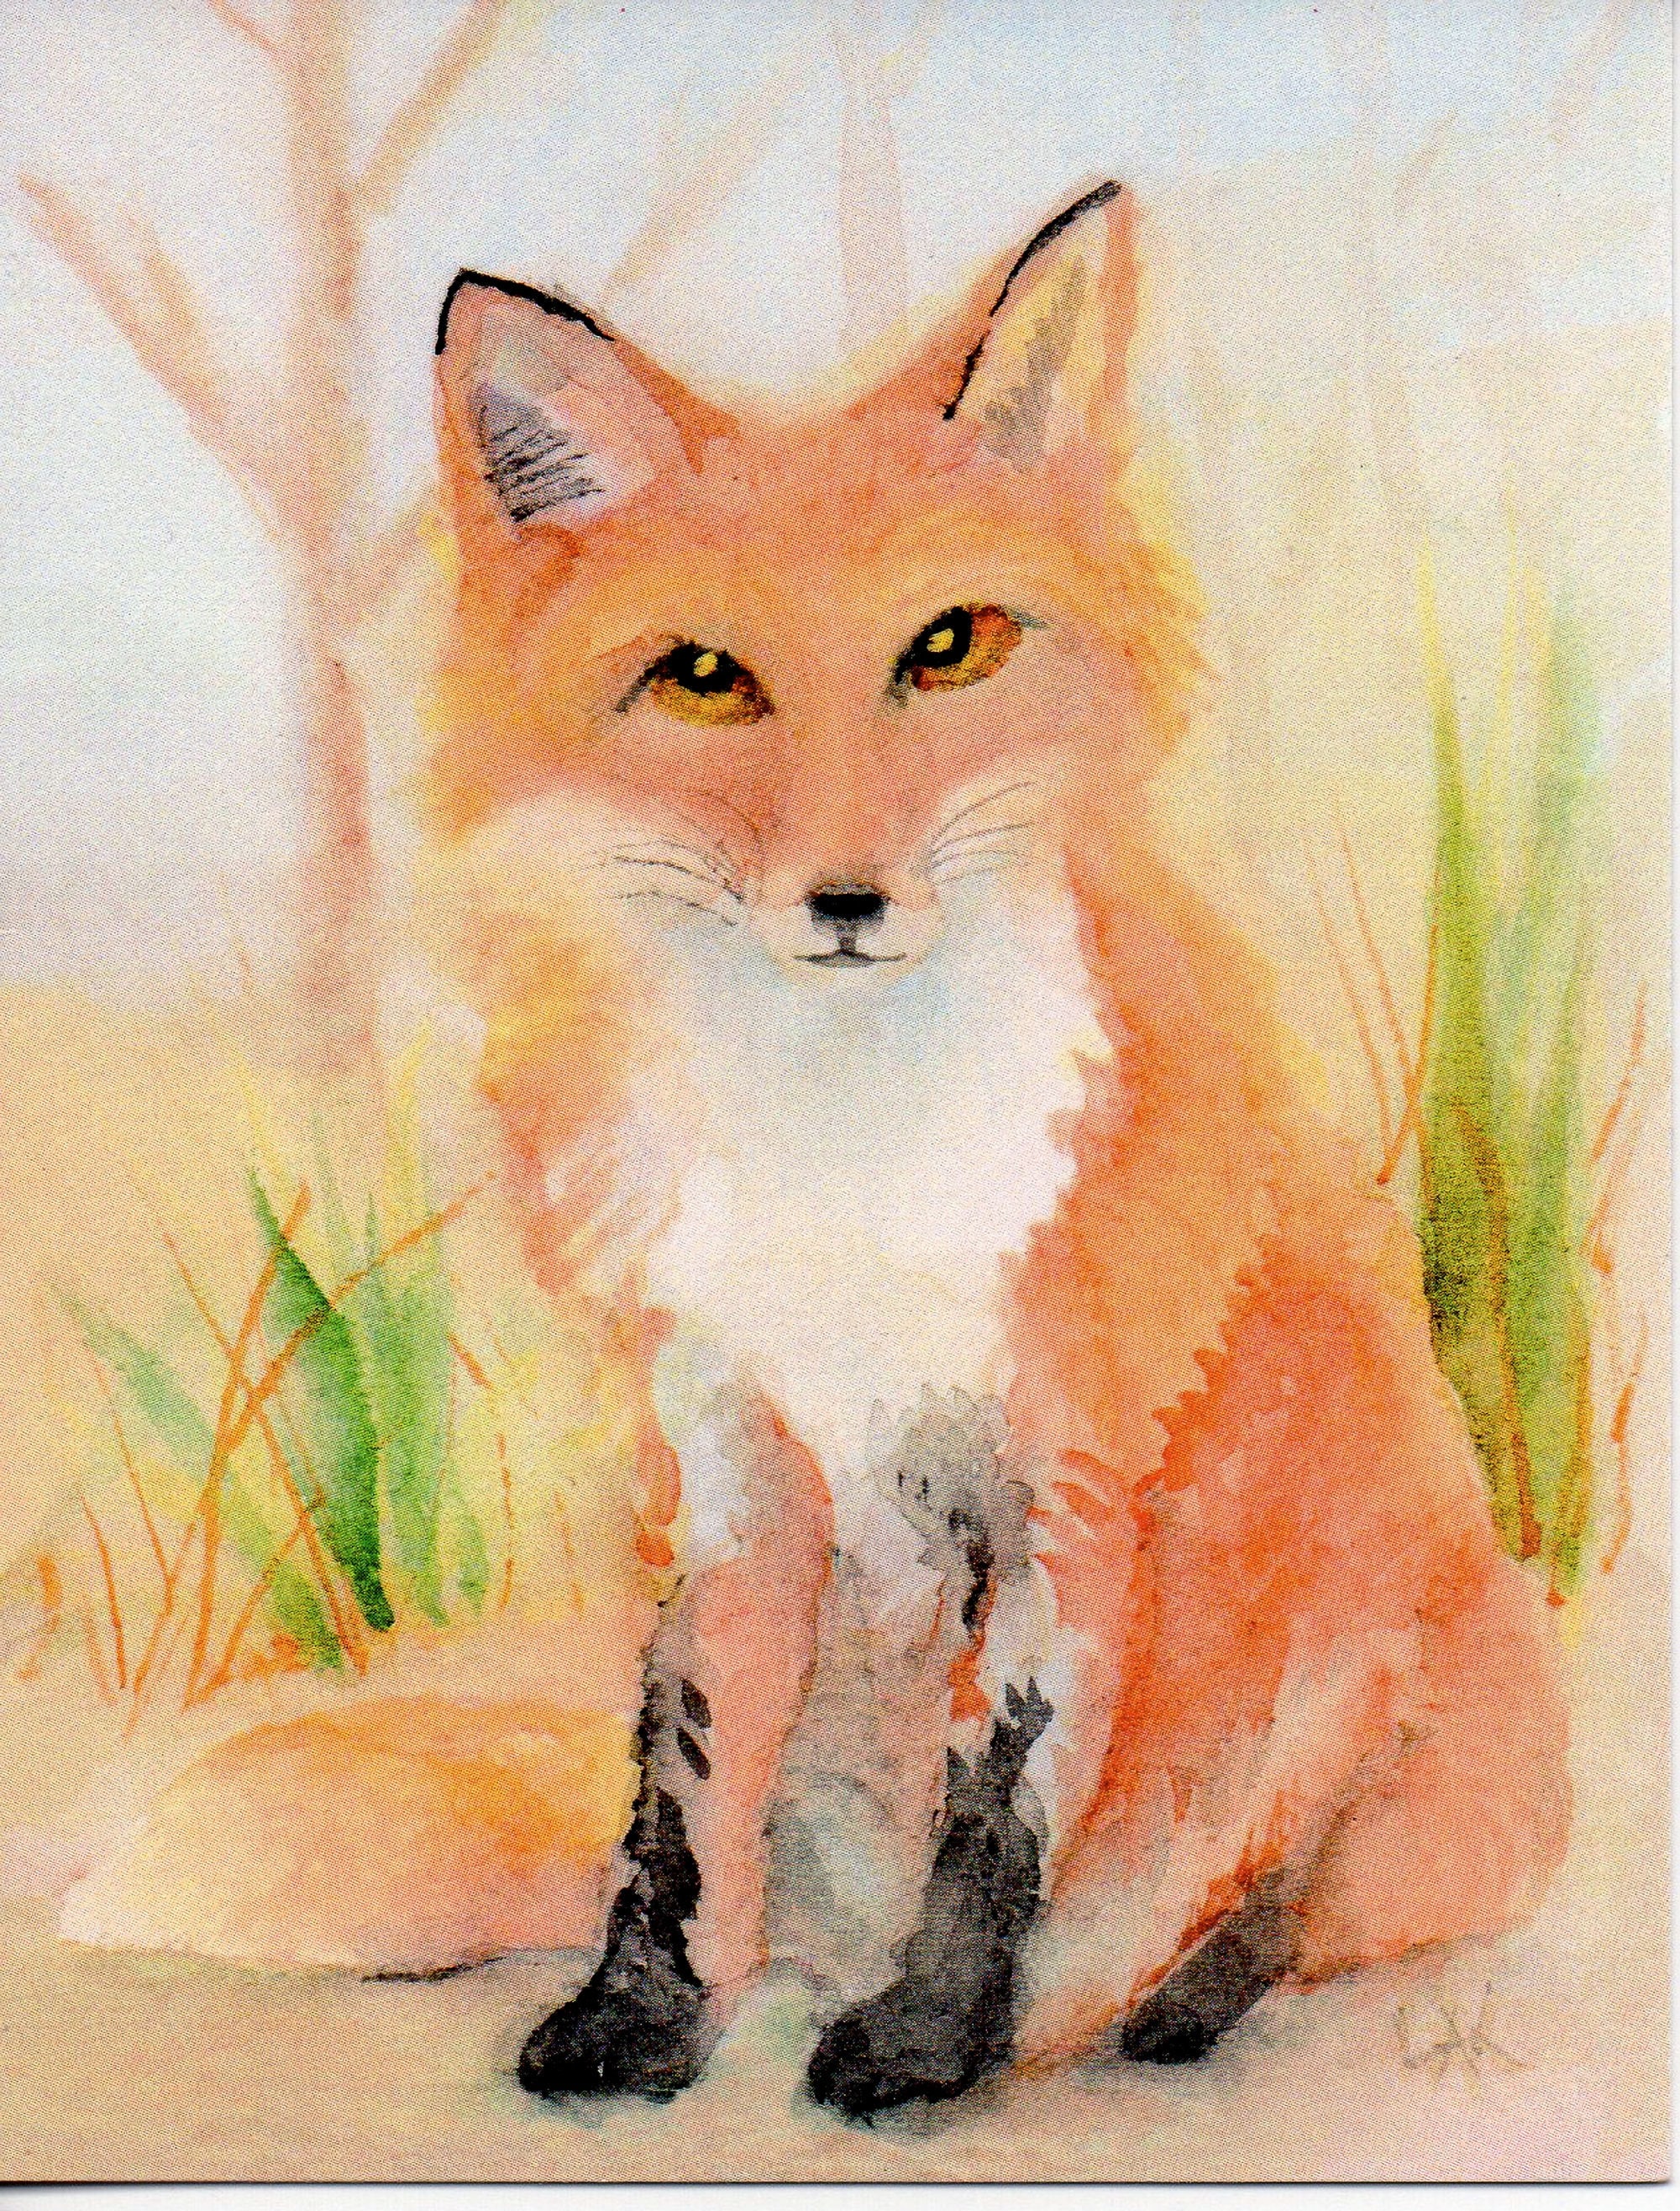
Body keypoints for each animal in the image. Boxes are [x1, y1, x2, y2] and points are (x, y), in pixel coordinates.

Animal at [425, 181, 1570, 2119]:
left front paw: (928, 2042)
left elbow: (1000, 1805)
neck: (847, 1153)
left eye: (948, 645)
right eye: (705, 679)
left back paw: (1179, 1999)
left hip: (1388, 1697)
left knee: (1301, 1900)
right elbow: (680, 1792)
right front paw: (645, 2017)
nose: (849, 900)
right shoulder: (735, 1463)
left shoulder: (1068, 1473)